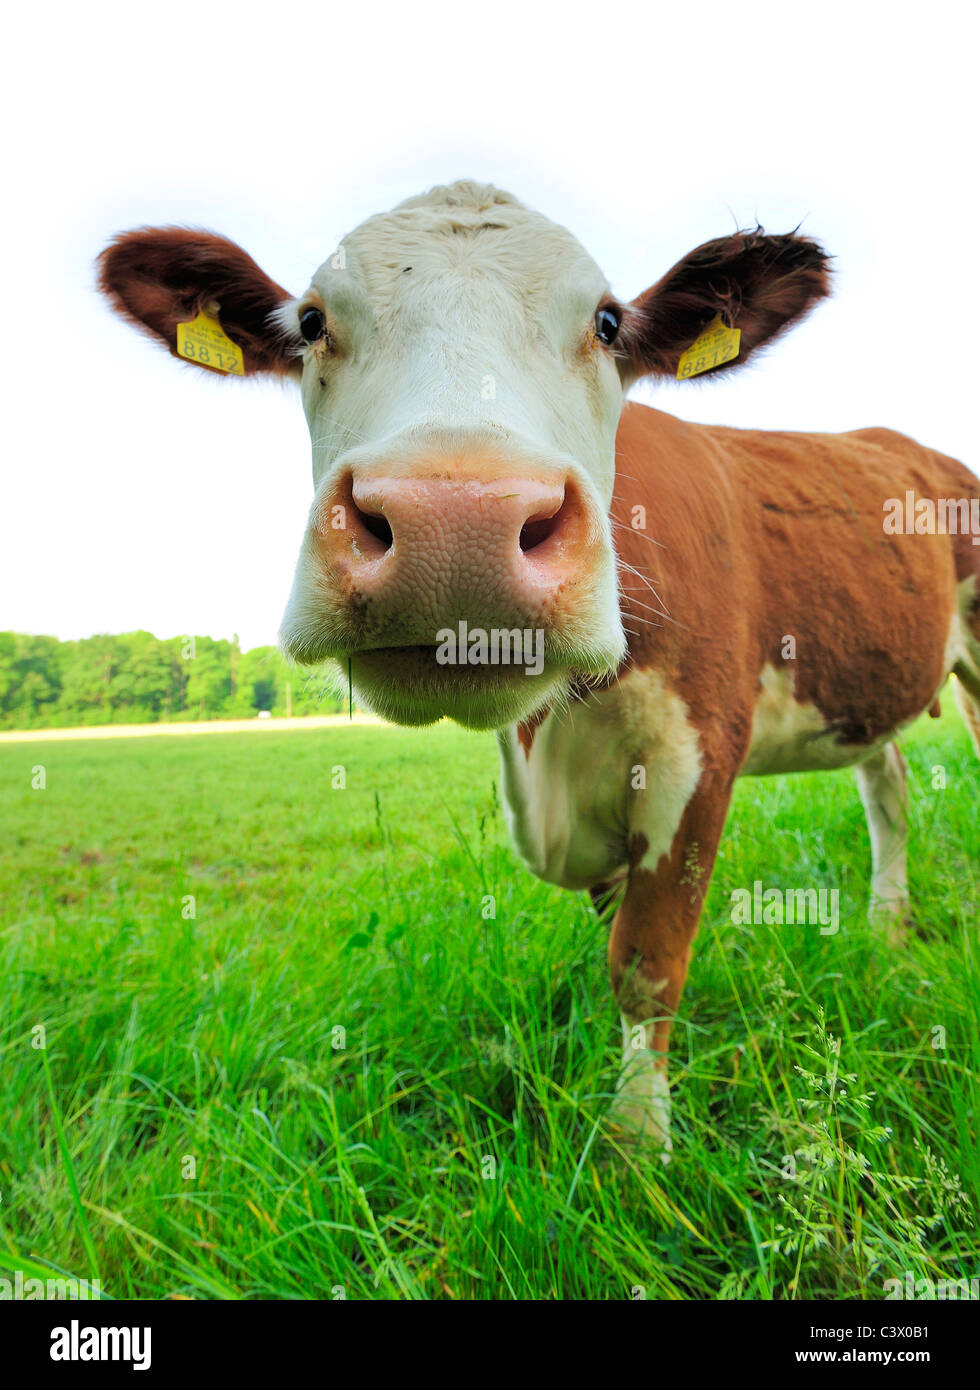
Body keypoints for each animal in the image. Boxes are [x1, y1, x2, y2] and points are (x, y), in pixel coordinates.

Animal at [98, 180, 980, 1158]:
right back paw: (887, 928)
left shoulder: (699, 753)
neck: (552, 744)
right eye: (313, 322)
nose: (457, 521)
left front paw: (637, 1145)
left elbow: (645, 962)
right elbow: (612, 939)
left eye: (607, 322)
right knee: (889, 786)